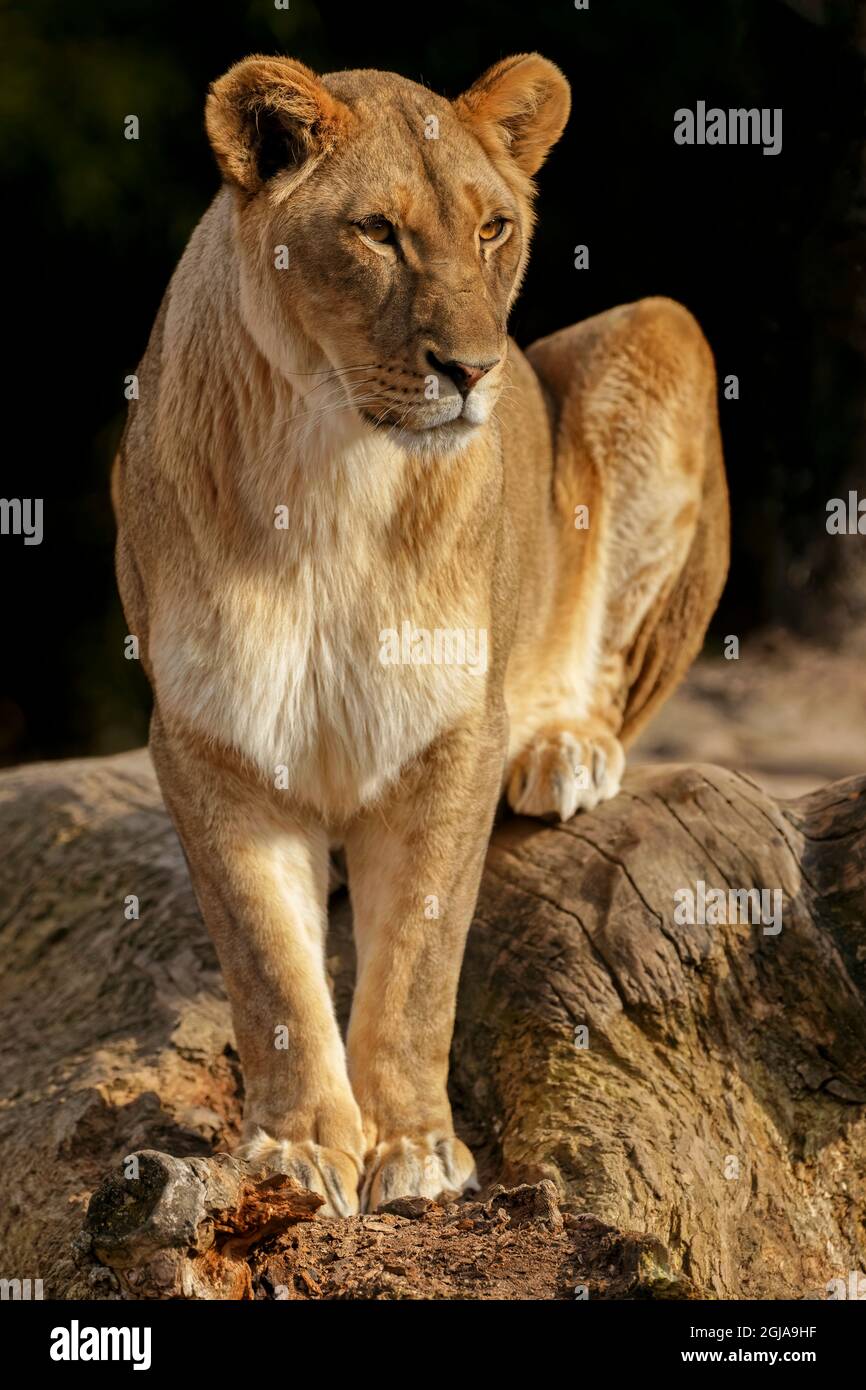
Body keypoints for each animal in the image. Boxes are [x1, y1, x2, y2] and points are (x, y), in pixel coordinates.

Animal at [113, 53, 729, 1216]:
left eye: (493, 228)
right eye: (376, 232)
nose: (475, 369)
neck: (328, 468)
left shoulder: (450, 734)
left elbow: (416, 965)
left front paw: (411, 1149)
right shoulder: (210, 740)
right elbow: (269, 968)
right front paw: (300, 1146)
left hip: (661, 328)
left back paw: (565, 752)